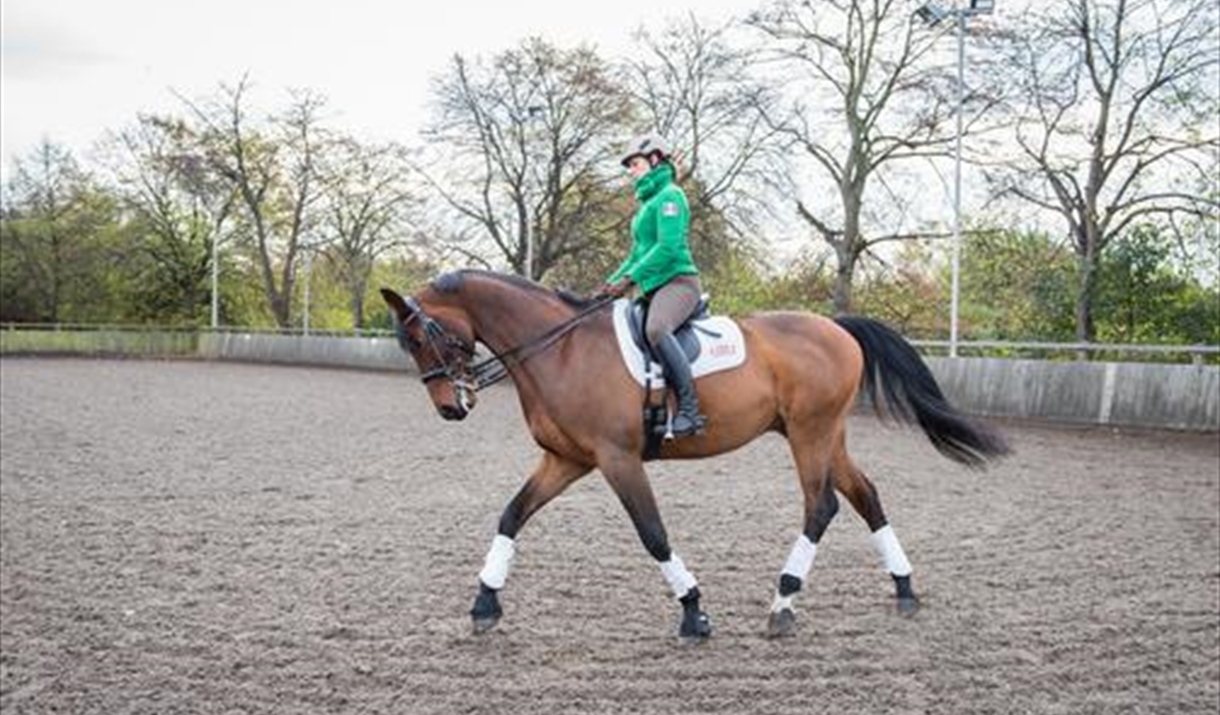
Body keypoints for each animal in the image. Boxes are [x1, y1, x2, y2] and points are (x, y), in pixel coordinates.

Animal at [380, 269, 1009, 641]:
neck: (560, 350)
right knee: (866, 497)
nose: (451, 408)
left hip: (810, 434)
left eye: (422, 337)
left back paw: (783, 603)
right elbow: (511, 515)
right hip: (826, 434)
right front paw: (485, 602)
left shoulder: (617, 459)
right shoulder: (568, 460)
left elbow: (653, 534)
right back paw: (904, 589)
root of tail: (836, 329)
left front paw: (693, 610)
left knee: (822, 506)